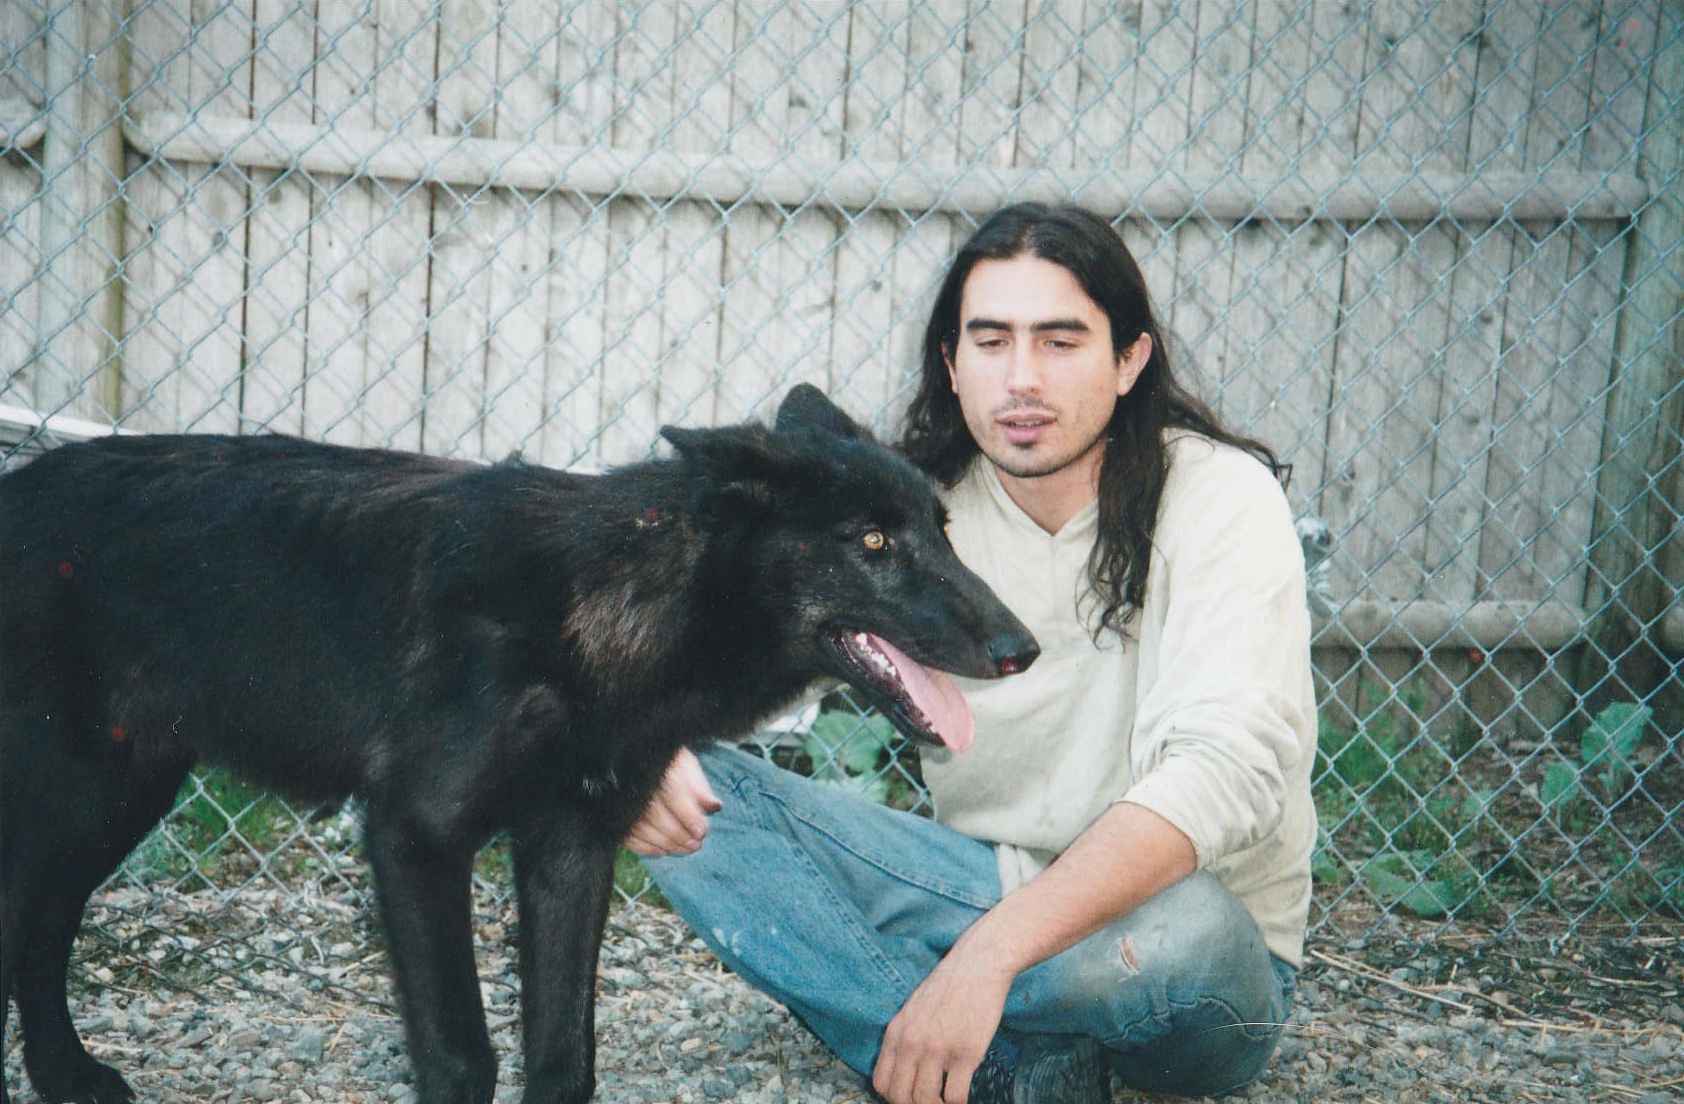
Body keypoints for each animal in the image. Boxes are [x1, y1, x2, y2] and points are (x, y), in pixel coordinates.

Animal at [0, 385, 1038, 1104]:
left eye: (942, 532)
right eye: (872, 543)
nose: (1022, 648)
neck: (613, 612)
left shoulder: (570, 851)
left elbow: (565, 1057)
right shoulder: (416, 841)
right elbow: (465, 1057)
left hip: (125, 794)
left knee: (37, 929)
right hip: (91, 798)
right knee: (35, 927)